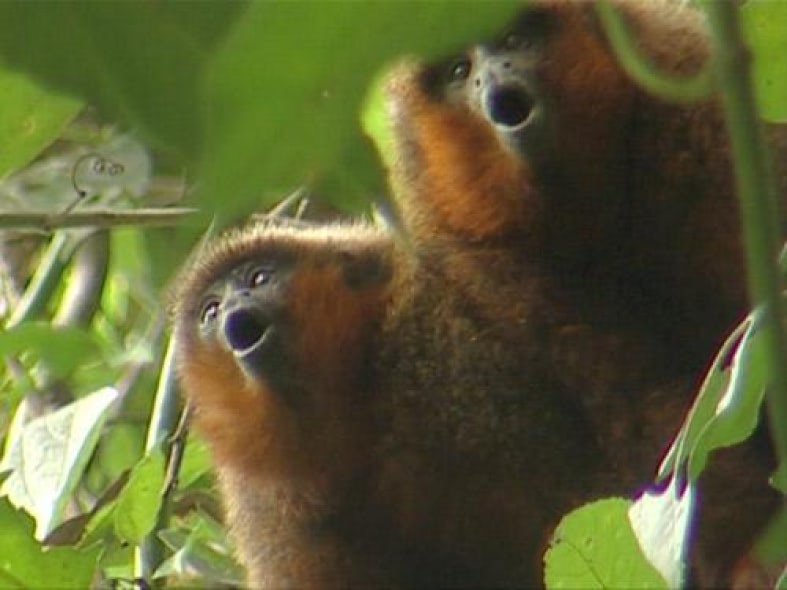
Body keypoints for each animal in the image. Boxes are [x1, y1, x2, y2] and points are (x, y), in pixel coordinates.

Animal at [173, 1, 786, 587]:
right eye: (211, 310)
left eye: (257, 279)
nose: (233, 314)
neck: (358, 410)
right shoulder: (280, 517)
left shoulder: (447, 357)